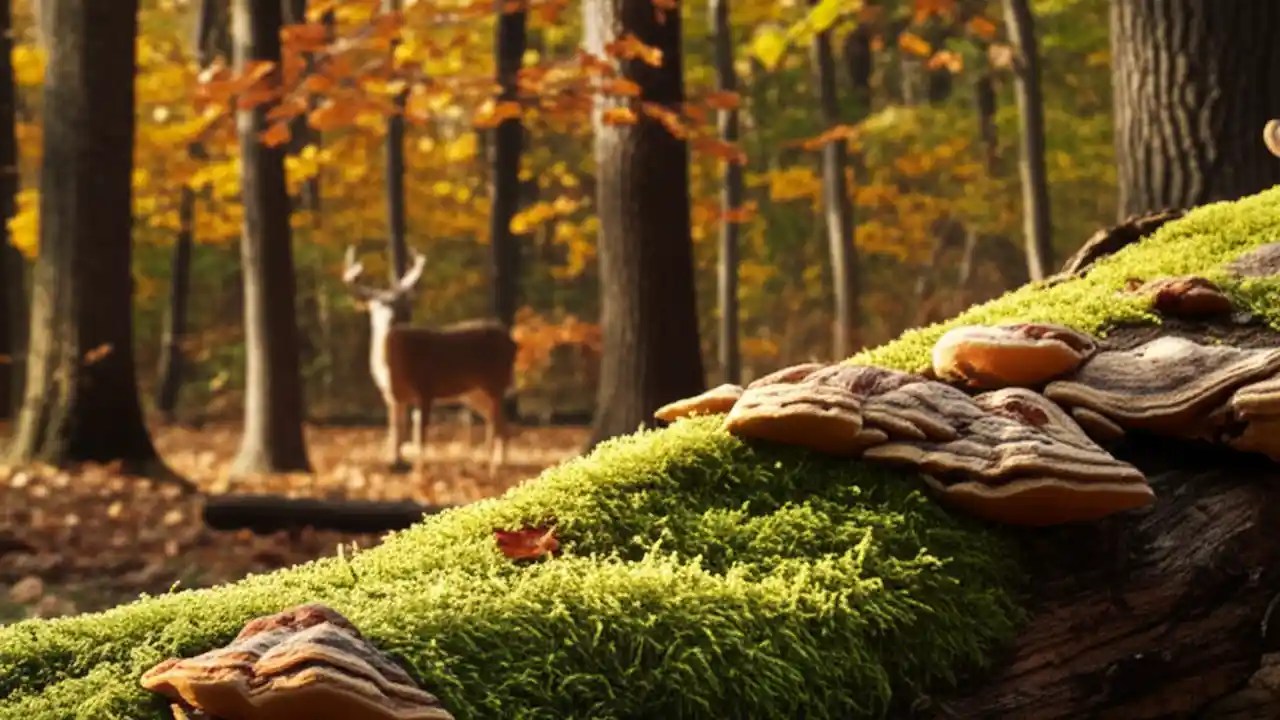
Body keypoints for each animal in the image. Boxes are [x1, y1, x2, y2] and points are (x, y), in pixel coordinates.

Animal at [341, 245, 518, 475]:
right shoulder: (391, 396)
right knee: (496, 420)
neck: (394, 369)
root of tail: (512, 341)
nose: (390, 321)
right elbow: (396, 431)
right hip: (473, 392)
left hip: (495, 381)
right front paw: (395, 463)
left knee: (499, 422)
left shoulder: (426, 387)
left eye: (398, 306)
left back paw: (496, 466)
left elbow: (420, 434)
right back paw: (491, 462)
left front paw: (419, 470)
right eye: (375, 307)